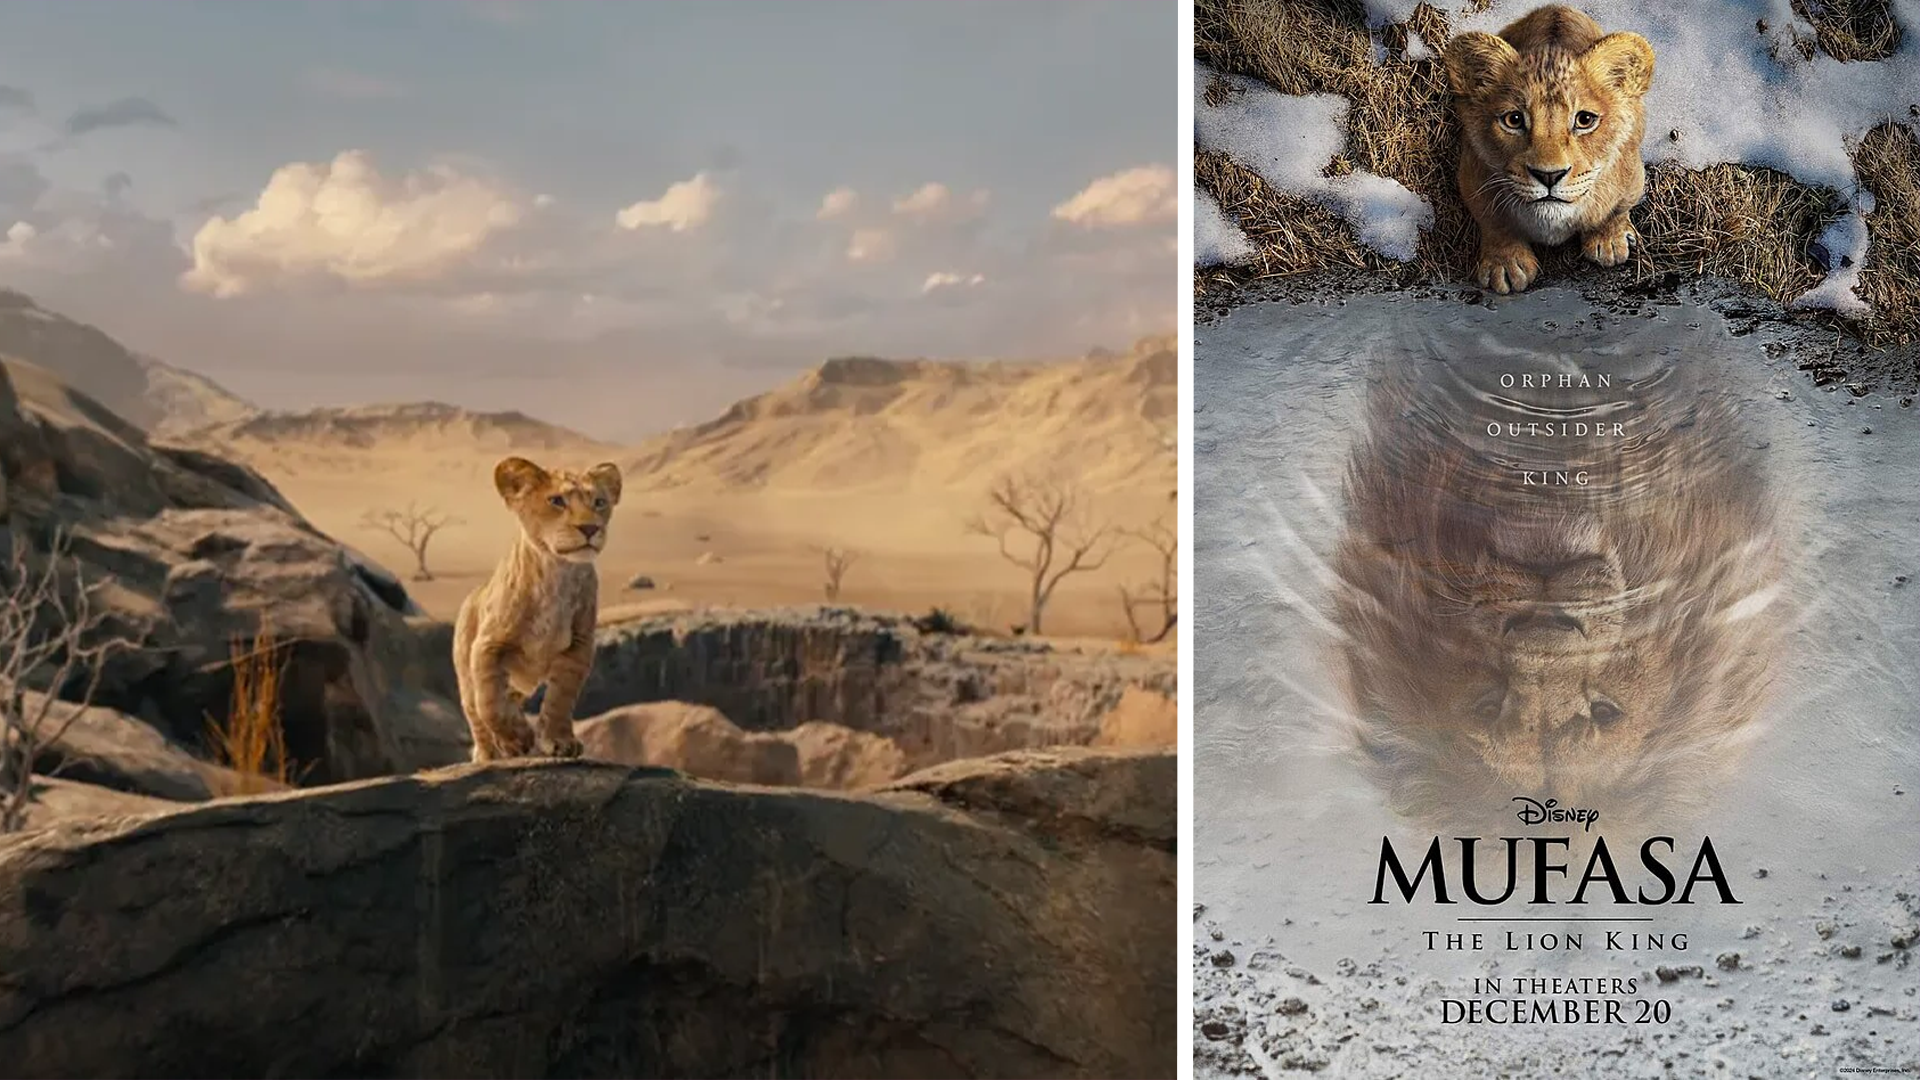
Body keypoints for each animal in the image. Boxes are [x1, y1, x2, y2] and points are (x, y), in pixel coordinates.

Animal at [452, 456, 622, 762]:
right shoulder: (488, 645)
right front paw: (517, 739)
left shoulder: (579, 648)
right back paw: (489, 754)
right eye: (556, 501)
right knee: (476, 711)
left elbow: (560, 699)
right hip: (465, 670)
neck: (557, 573)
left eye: (599, 502)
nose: (590, 528)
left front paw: (559, 741)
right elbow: (490, 701)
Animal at [1443, 5, 1655, 294]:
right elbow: (1494, 221)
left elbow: (1616, 210)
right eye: (1514, 120)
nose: (1549, 176)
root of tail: (1556, 7)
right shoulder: (1472, 175)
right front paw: (1505, 264)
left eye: (1584, 120)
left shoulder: (1632, 175)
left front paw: (1609, 241)